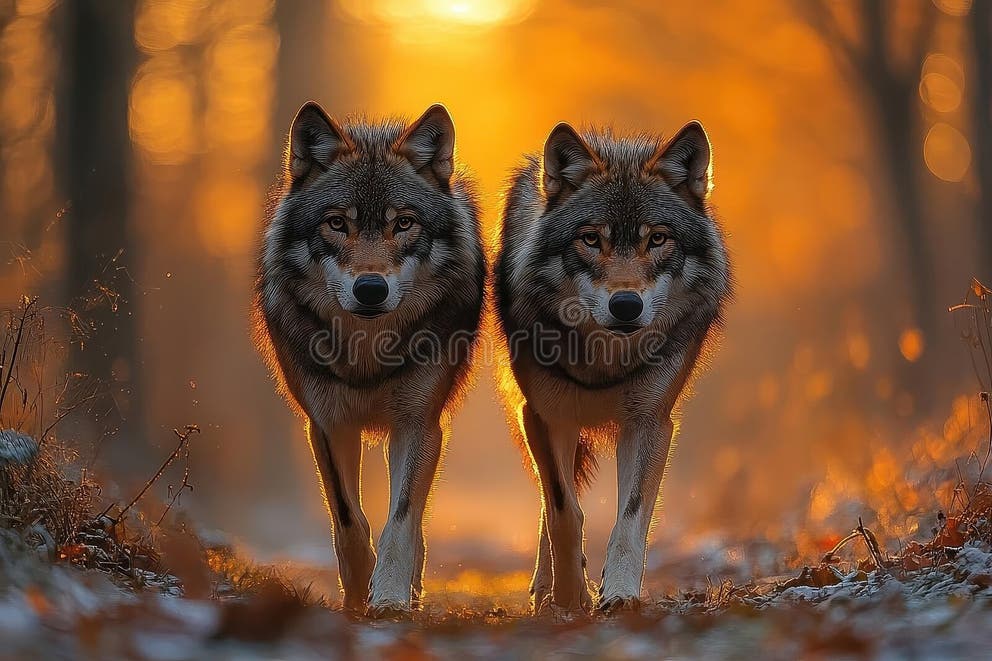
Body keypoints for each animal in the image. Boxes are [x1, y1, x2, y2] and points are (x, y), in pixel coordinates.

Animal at [253, 102, 485, 615]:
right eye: (338, 223)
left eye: (404, 223)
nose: (371, 289)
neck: (367, 352)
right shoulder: (326, 423)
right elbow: (349, 521)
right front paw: (358, 596)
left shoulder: (418, 424)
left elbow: (400, 521)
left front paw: (392, 598)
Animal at [494, 120, 731, 613]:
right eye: (591, 238)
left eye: (656, 238)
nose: (626, 305)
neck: (604, 360)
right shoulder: (544, 415)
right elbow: (564, 511)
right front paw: (570, 595)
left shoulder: (650, 421)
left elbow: (630, 518)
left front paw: (618, 594)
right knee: (549, 501)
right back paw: (545, 590)